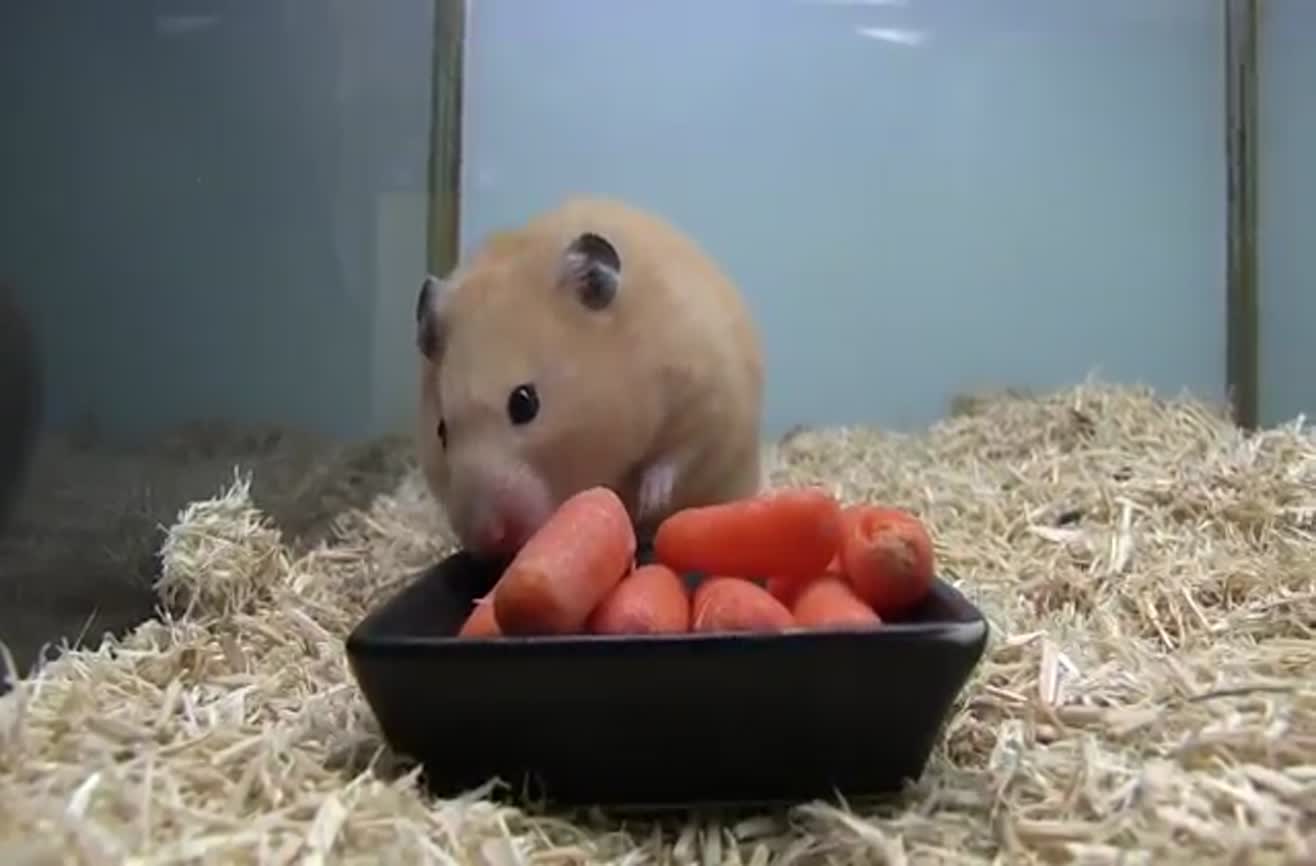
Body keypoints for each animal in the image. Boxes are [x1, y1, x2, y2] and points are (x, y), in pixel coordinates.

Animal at [413, 196, 765, 560]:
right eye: (441, 431)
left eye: (524, 403)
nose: (490, 538)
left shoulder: (708, 389)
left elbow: (680, 452)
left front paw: (649, 501)